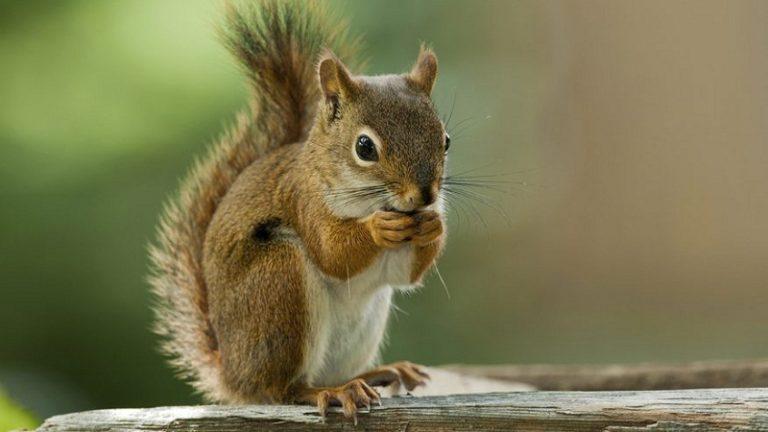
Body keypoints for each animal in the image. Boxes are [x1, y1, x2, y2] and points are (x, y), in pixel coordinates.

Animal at [149, 0, 448, 420]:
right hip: (279, 283)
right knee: (283, 389)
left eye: (446, 140)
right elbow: (333, 253)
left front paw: (434, 226)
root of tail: (233, 375)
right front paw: (377, 229)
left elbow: (407, 274)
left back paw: (377, 374)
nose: (424, 196)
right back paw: (332, 392)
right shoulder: (303, 200)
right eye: (365, 147)